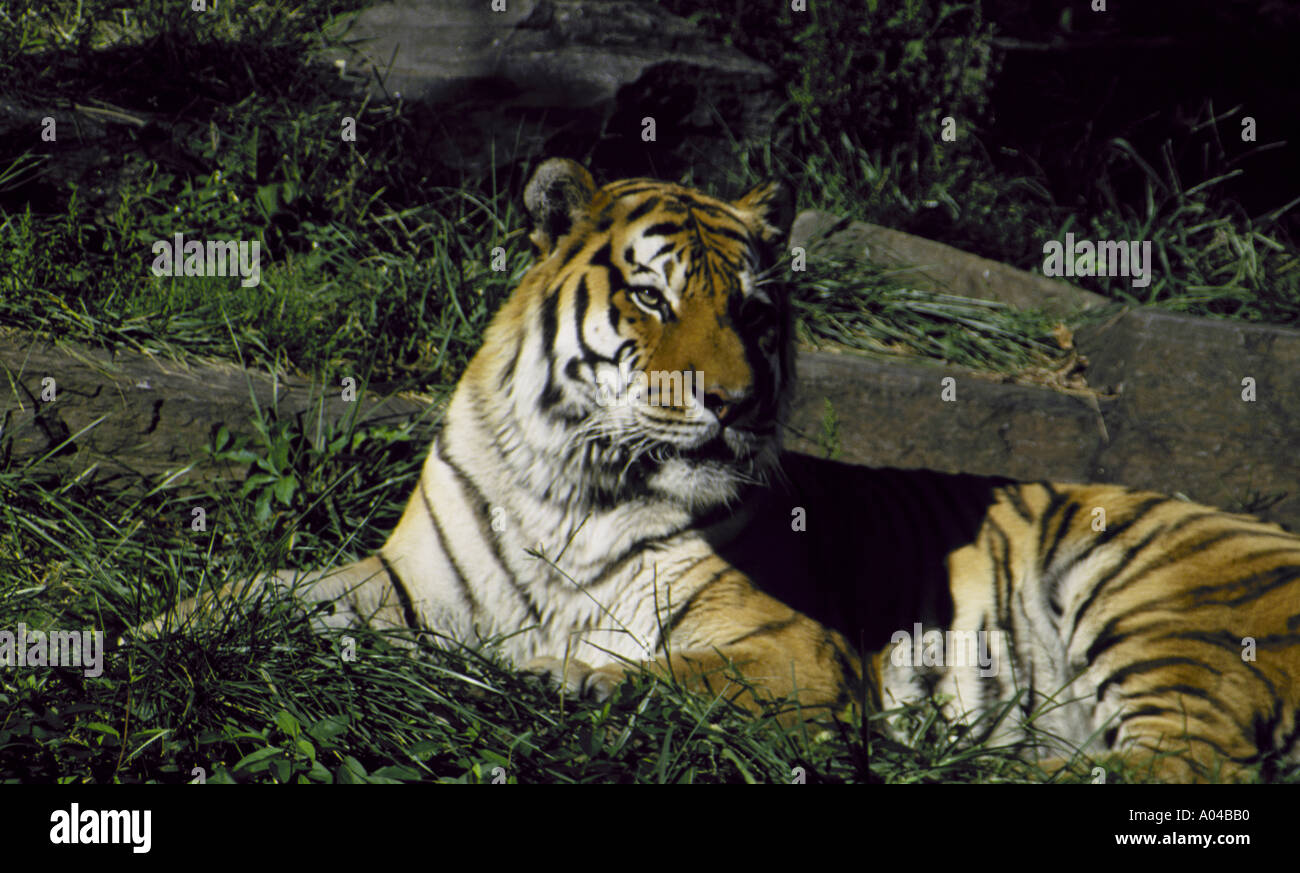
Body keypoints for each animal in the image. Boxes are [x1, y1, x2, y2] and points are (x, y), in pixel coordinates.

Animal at [134, 158, 1300, 782]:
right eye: (651, 298)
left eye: (751, 309)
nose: (735, 403)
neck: (574, 484)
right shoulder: (410, 583)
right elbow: (262, 592)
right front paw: (138, 639)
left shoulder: (794, 646)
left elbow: (663, 673)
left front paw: (547, 677)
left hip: (1159, 608)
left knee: (1191, 757)